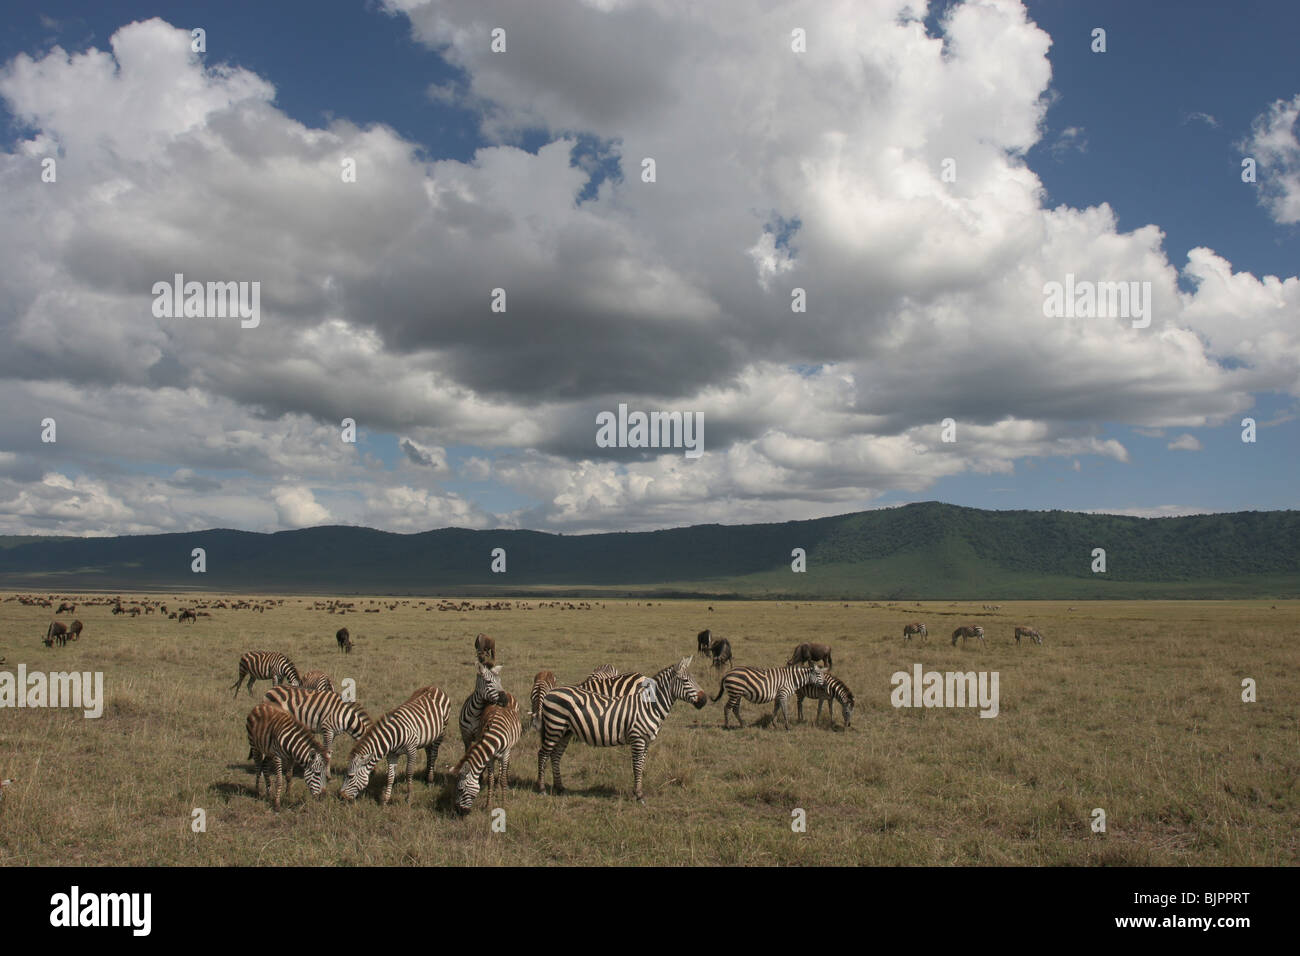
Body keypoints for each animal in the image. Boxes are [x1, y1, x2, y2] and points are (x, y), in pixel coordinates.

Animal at [536, 657, 706, 805]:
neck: (649, 706)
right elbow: (637, 766)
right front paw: (639, 796)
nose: (704, 700)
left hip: (565, 731)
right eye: (685, 681)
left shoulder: (646, 741)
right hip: (555, 727)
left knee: (555, 755)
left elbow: (641, 766)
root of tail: (551, 692)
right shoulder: (637, 738)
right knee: (543, 754)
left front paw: (637, 792)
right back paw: (542, 789)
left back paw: (560, 788)